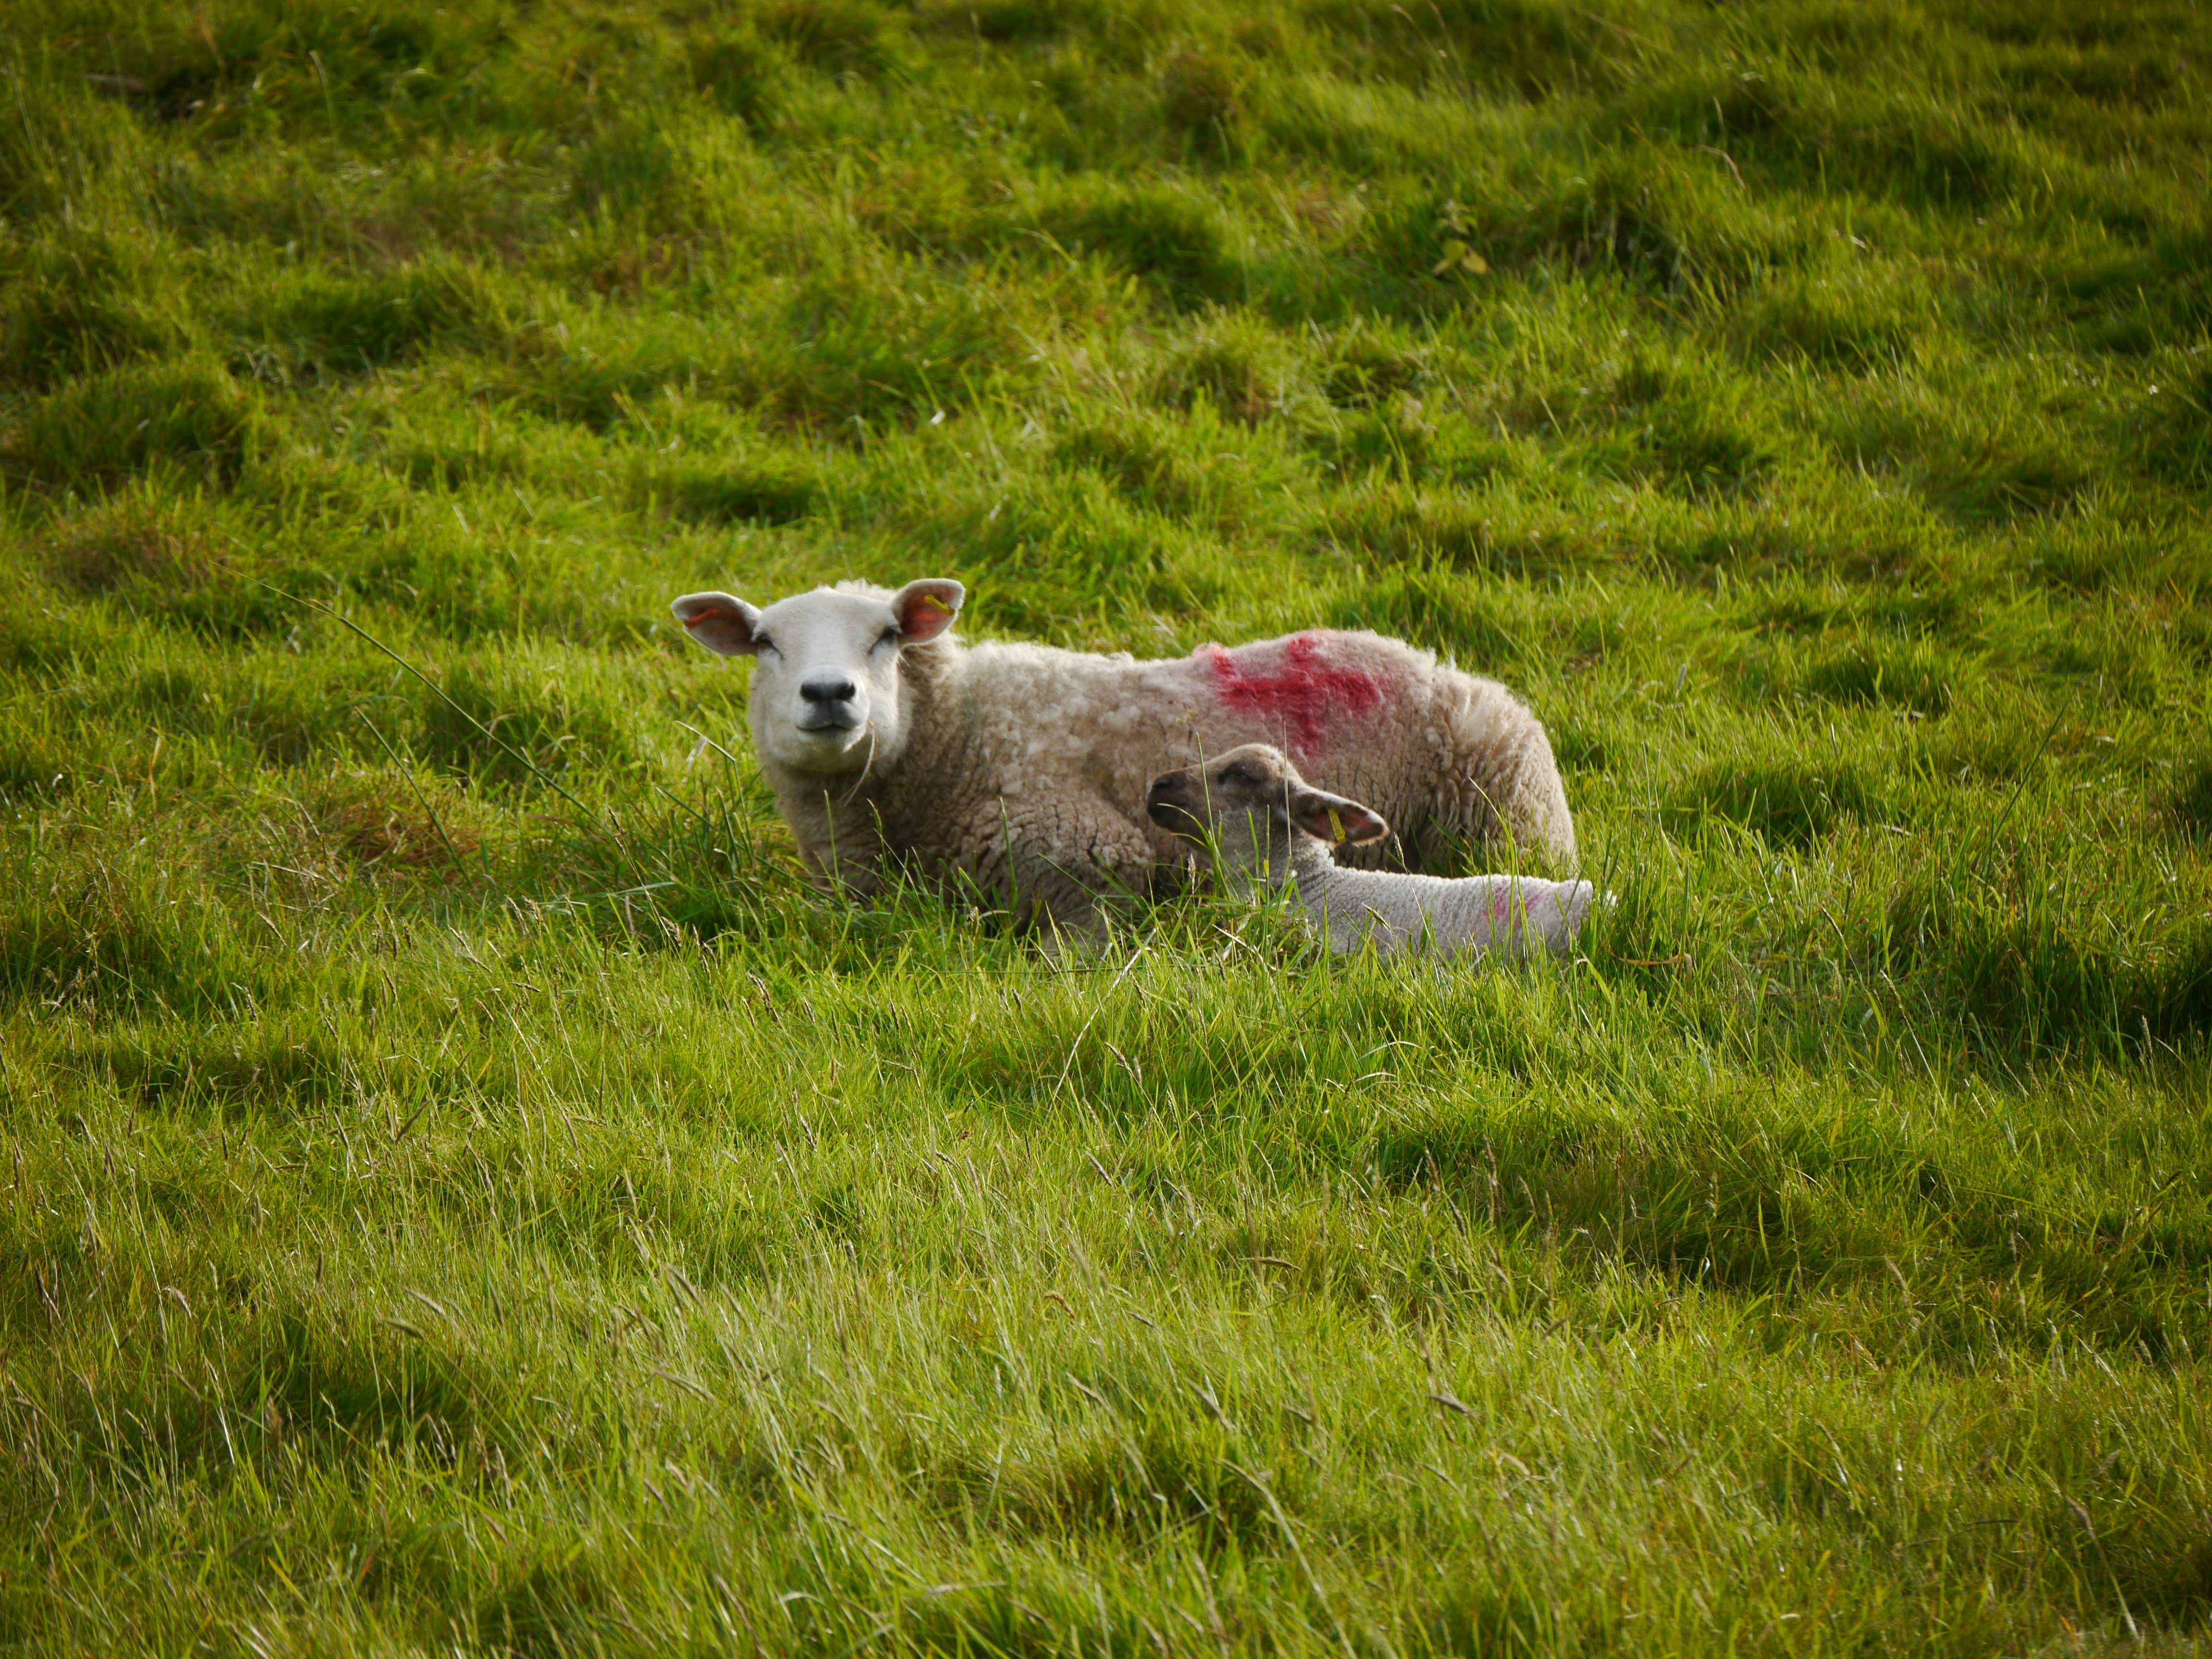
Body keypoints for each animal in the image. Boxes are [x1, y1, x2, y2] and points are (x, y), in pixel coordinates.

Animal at [670, 578, 1577, 940]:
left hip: (1514, 824)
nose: (830, 694)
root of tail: (1436, 662)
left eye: (888, 635)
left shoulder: (1093, 862)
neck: (957, 737)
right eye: (764, 642)